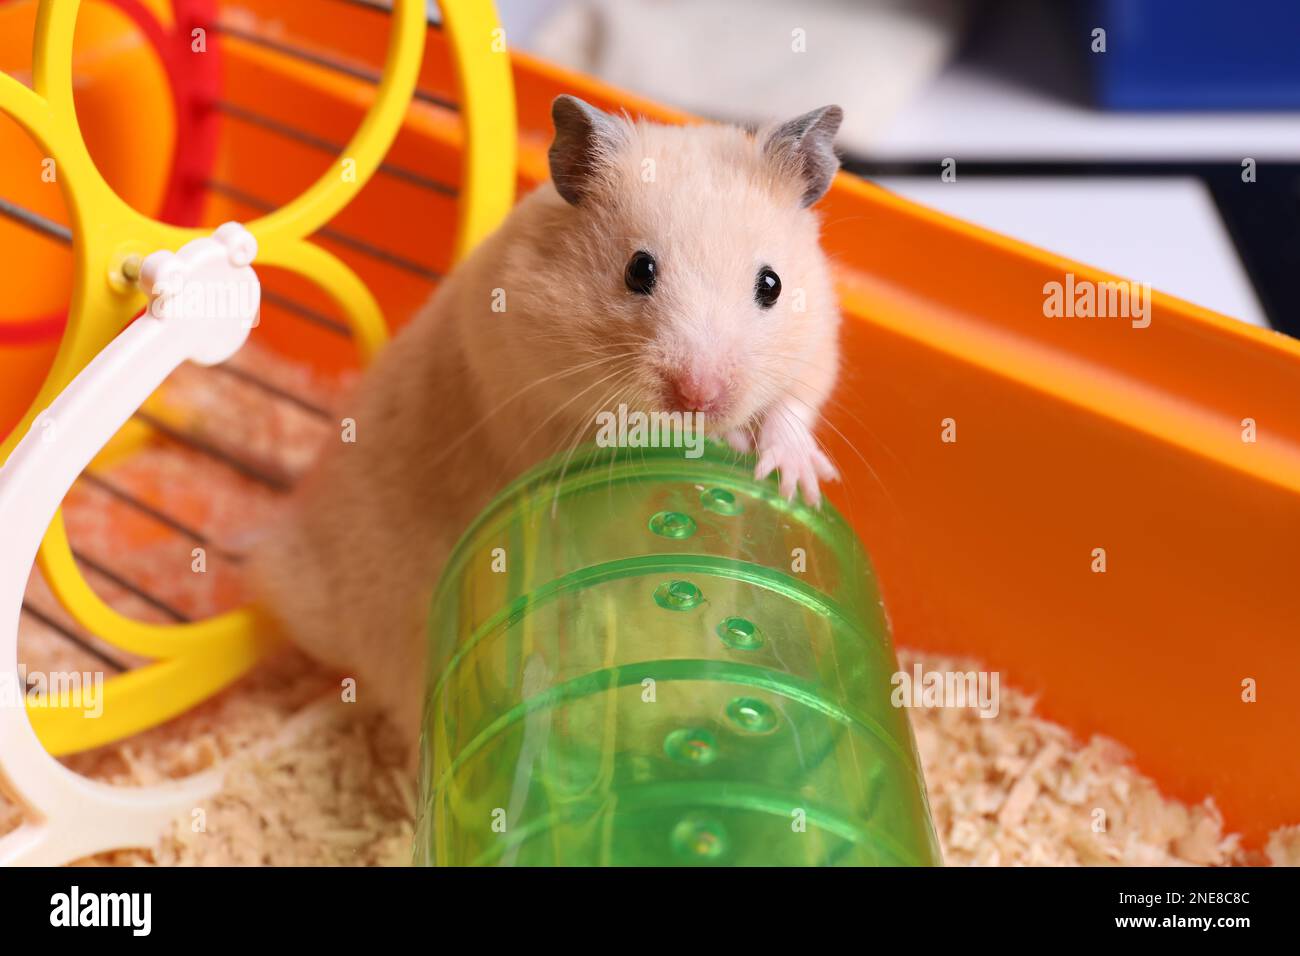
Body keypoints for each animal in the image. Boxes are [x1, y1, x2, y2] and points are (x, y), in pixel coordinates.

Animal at [250, 95, 845, 750]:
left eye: (772, 284)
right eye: (639, 270)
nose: (700, 398)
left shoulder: (817, 351)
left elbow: (792, 407)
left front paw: (792, 482)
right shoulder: (533, 394)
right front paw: (729, 440)